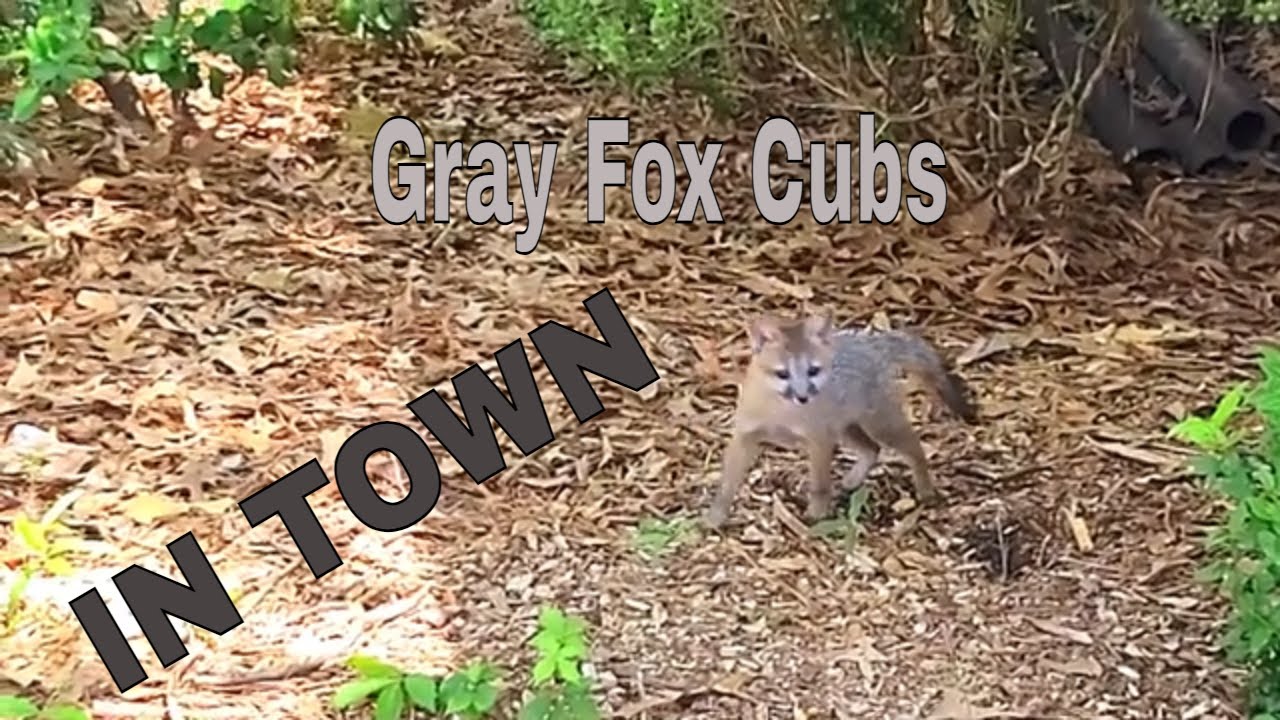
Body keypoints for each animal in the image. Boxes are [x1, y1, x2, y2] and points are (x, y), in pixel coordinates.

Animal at [703, 311, 978, 530]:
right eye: (783, 374)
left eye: (813, 371)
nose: (802, 397)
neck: (780, 412)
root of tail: (871, 342)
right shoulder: (745, 437)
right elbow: (726, 485)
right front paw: (715, 517)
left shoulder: (819, 440)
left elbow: (819, 485)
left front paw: (816, 515)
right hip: (847, 428)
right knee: (872, 449)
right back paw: (852, 482)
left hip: (878, 425)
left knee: (913, 448)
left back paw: (926, 490)